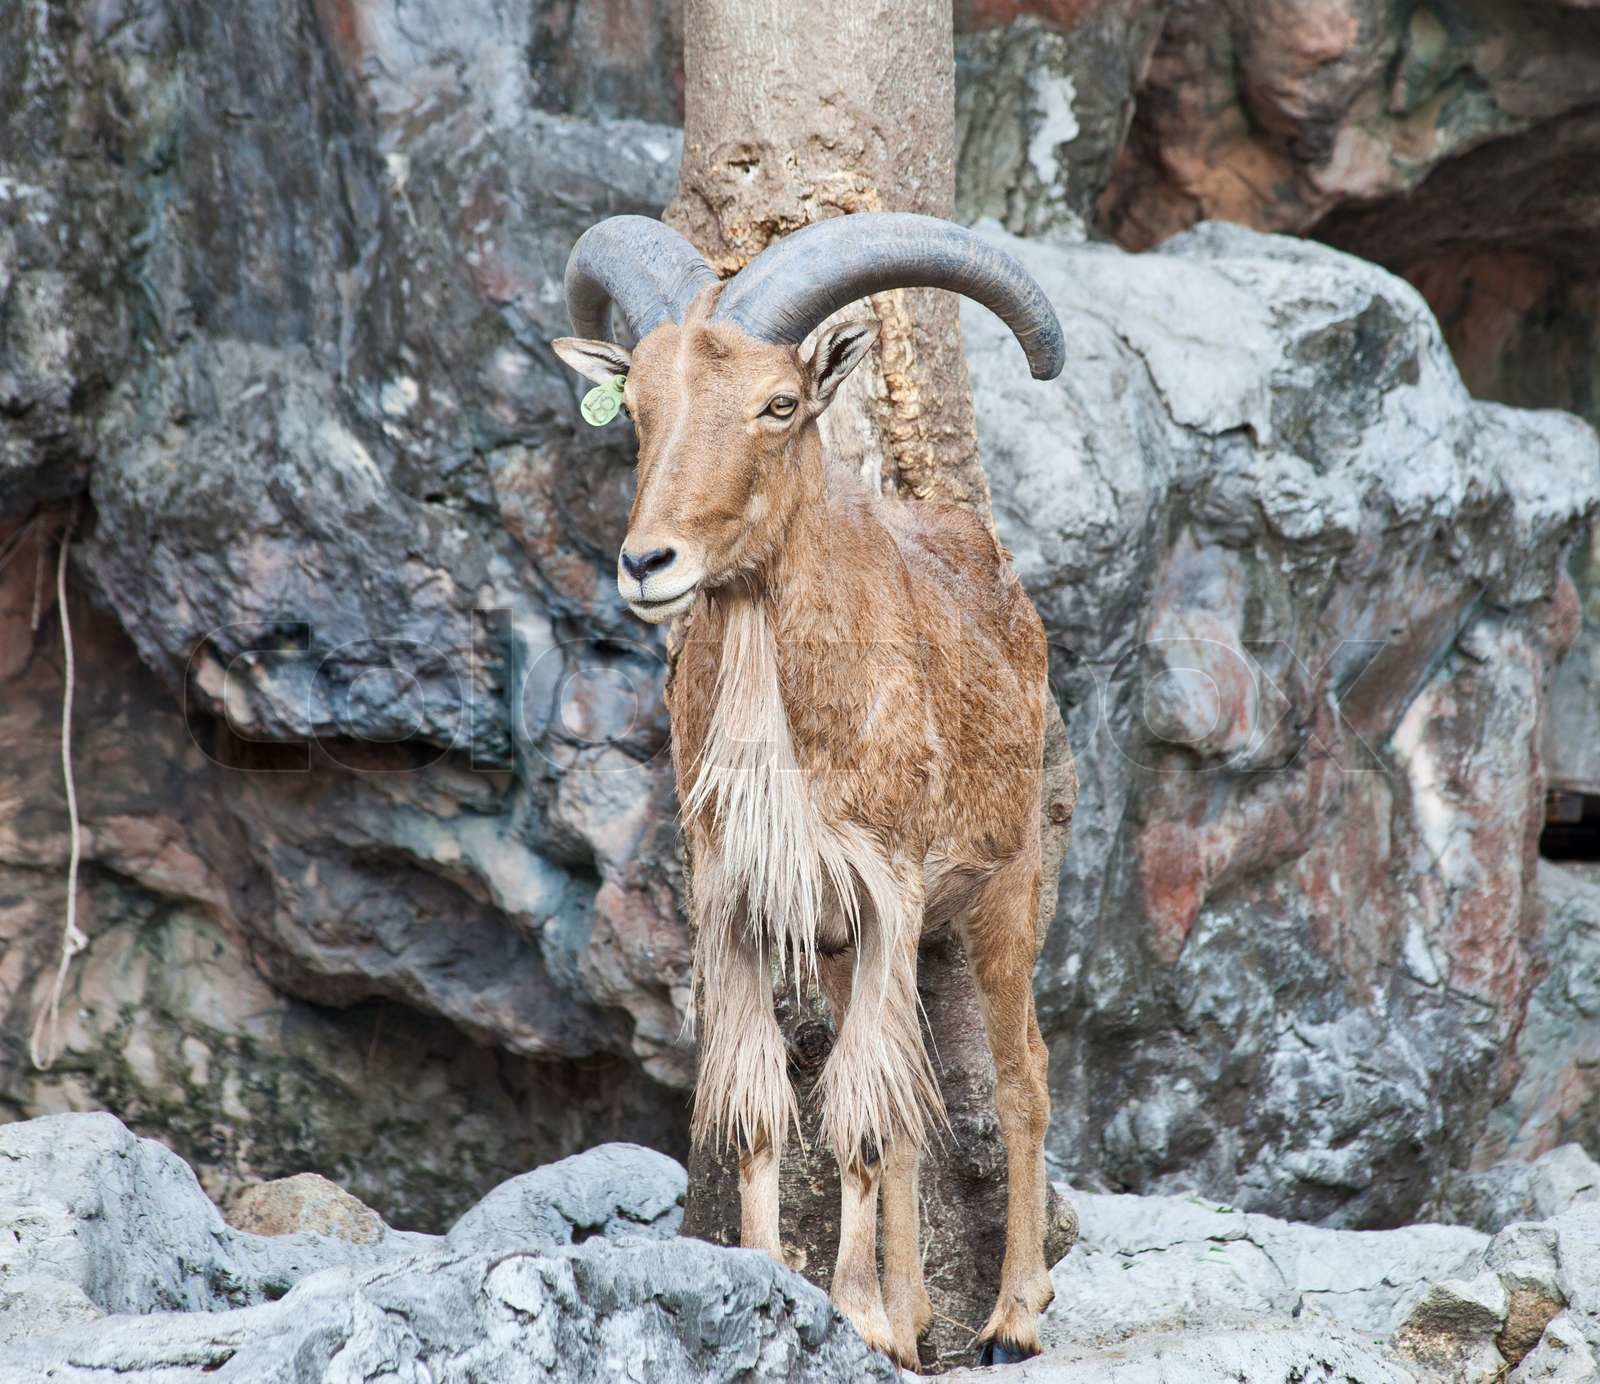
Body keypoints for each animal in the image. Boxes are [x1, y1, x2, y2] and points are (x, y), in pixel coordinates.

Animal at [551, 211, 1066, 1368]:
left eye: (778, 405)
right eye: (639, 409)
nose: (648, 563)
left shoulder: (887, 890)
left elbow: (861, 1123)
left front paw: (861, 1317)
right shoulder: (743, 905)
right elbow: (765, 1110)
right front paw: (778, 1281)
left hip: (1007, 888)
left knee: (1020, 1080)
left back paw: (1011, 1318)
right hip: (858, 950)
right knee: (916, 1095)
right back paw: (922, 1317)